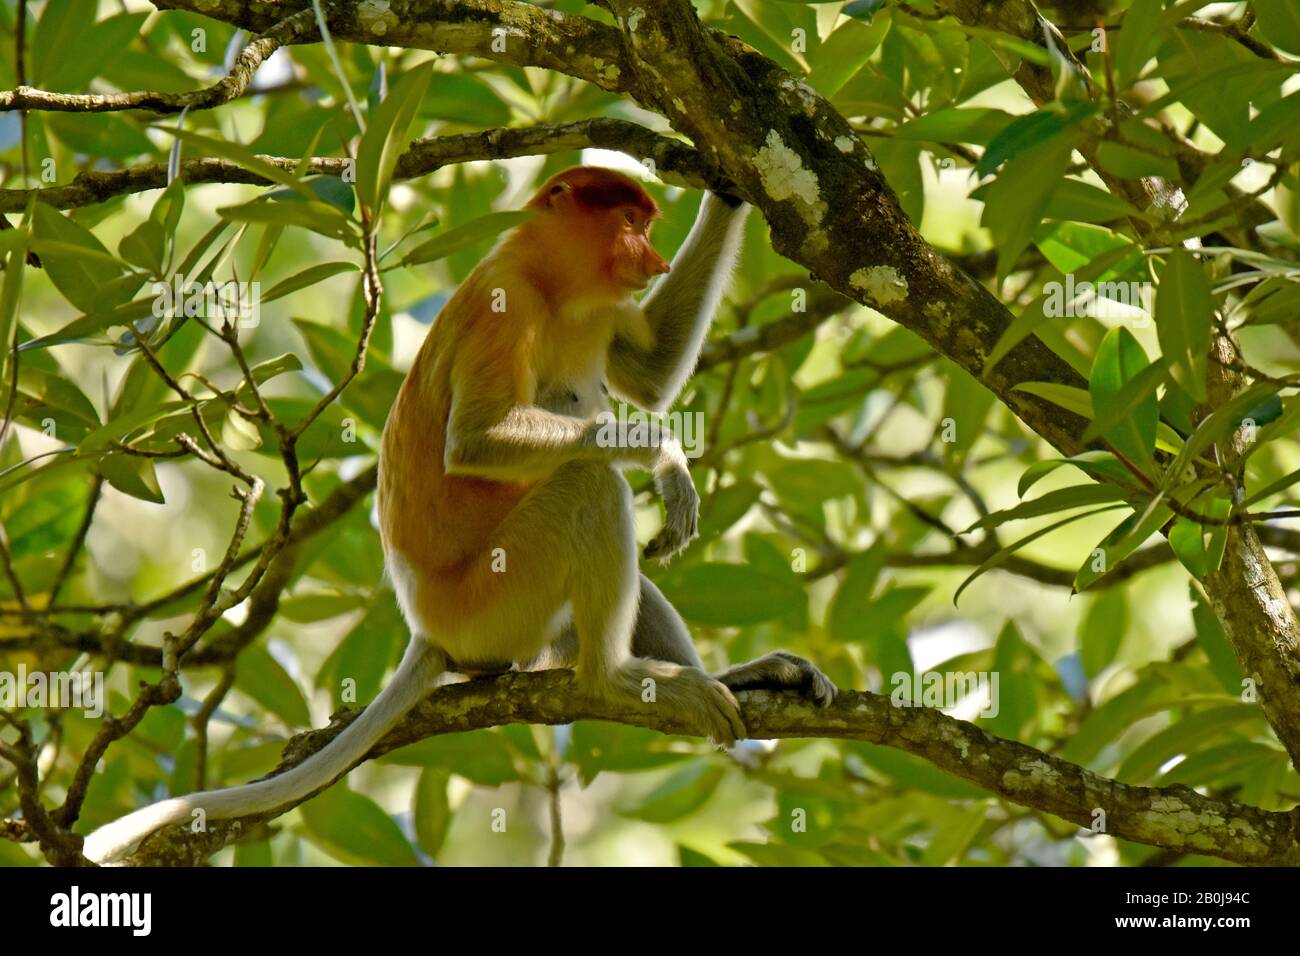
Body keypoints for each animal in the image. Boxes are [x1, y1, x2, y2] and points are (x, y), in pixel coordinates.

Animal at [82, 167, 835, 864]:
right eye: (628, 221)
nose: (653, 259)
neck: (556, 288)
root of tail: (428, 627)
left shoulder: (601, 309)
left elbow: (649, 373)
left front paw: (731, 178)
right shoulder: (505, 304)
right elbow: (476, 440)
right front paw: (665, 457)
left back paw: (736, 679)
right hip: (493, 603)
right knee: (589, 484)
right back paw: (616, 678)